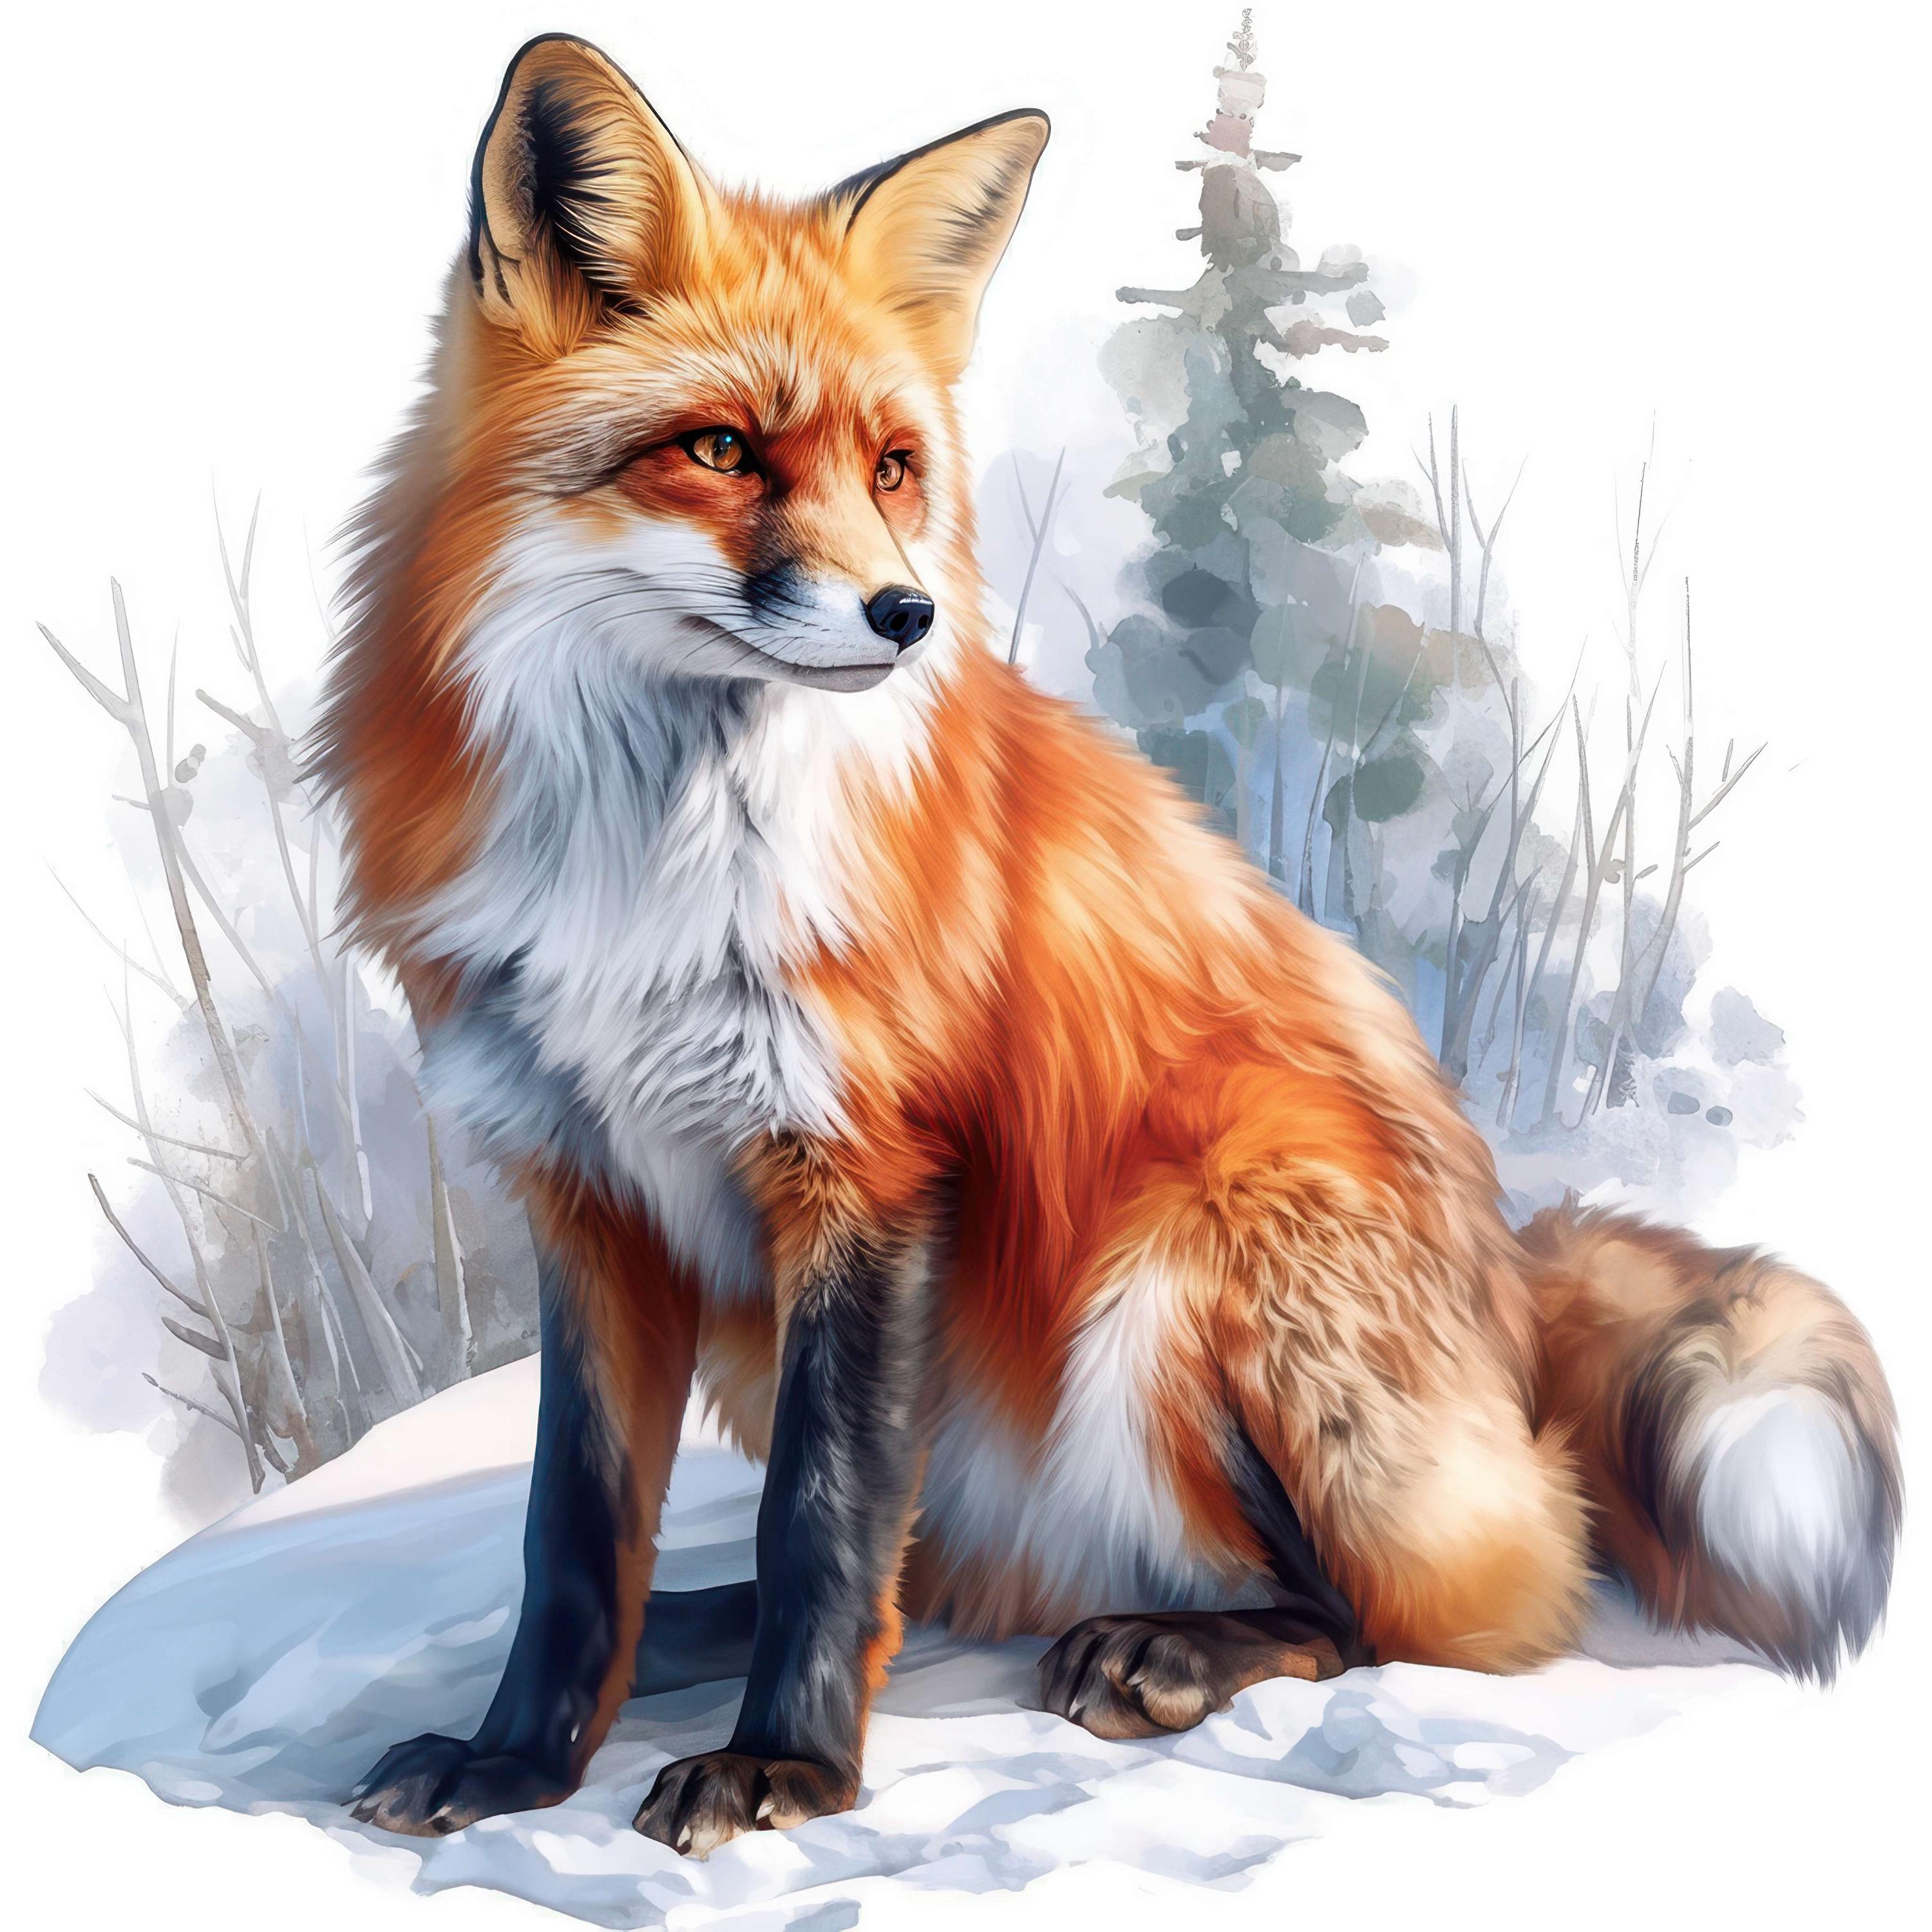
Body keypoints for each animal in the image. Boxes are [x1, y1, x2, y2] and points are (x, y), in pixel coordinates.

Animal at [323, 34, 1900, 1856]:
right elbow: (576, 1536)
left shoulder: (868, 1170)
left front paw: (790, 1768)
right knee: (943, 1576)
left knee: (1414, 1610)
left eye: (893, 469)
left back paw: (1165, 1648)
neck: (645, 868)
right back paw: (716, 1630)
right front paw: (518, 1756)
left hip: (1191, 1261)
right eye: (718, 449)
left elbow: (820, 1516)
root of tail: (1512, 1281)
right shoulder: (587, 1197)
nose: (907, 615)